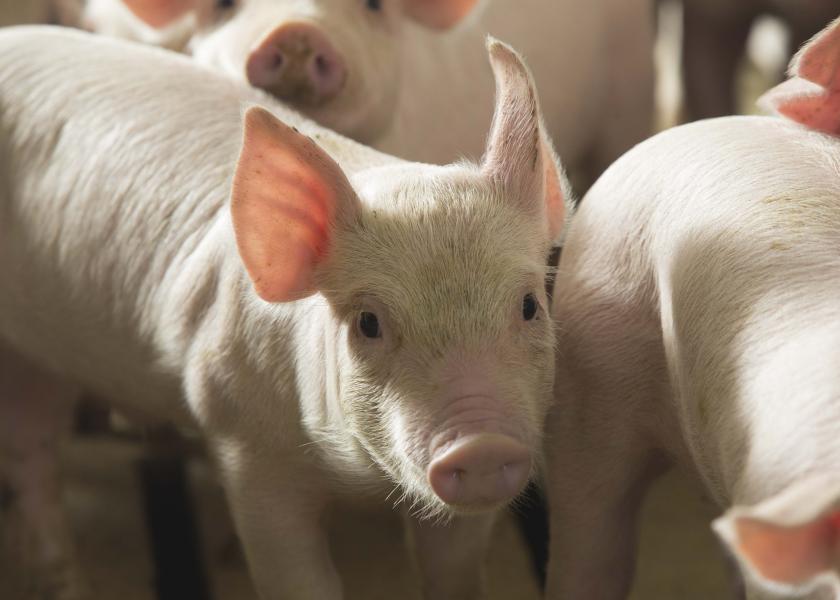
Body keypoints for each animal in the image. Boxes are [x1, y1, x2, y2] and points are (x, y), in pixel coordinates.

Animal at [0, 25, 568, 600]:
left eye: (529, 306)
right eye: (368, 323)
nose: (481, 444)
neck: (359, 484)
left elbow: (452, 569)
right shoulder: (242, 437)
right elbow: (297, 575)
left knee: (31, 445)